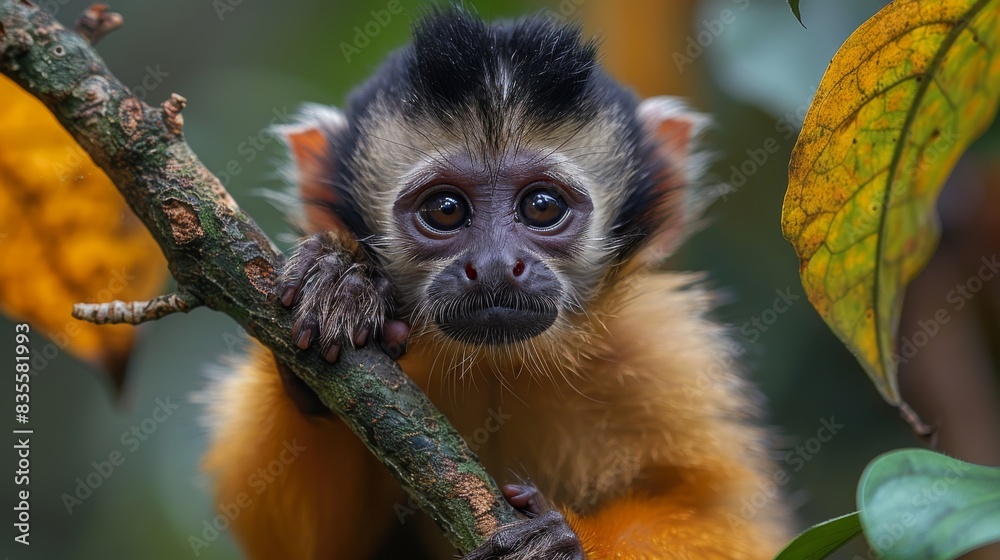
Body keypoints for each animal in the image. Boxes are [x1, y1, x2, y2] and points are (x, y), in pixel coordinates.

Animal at [200, 8, 791, 559]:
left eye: (542, 206)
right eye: (445, 209)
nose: (494, 264)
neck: (497, 366)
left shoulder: (662, 352)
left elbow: (736, 522)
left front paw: (567, 543)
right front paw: (337, 287)